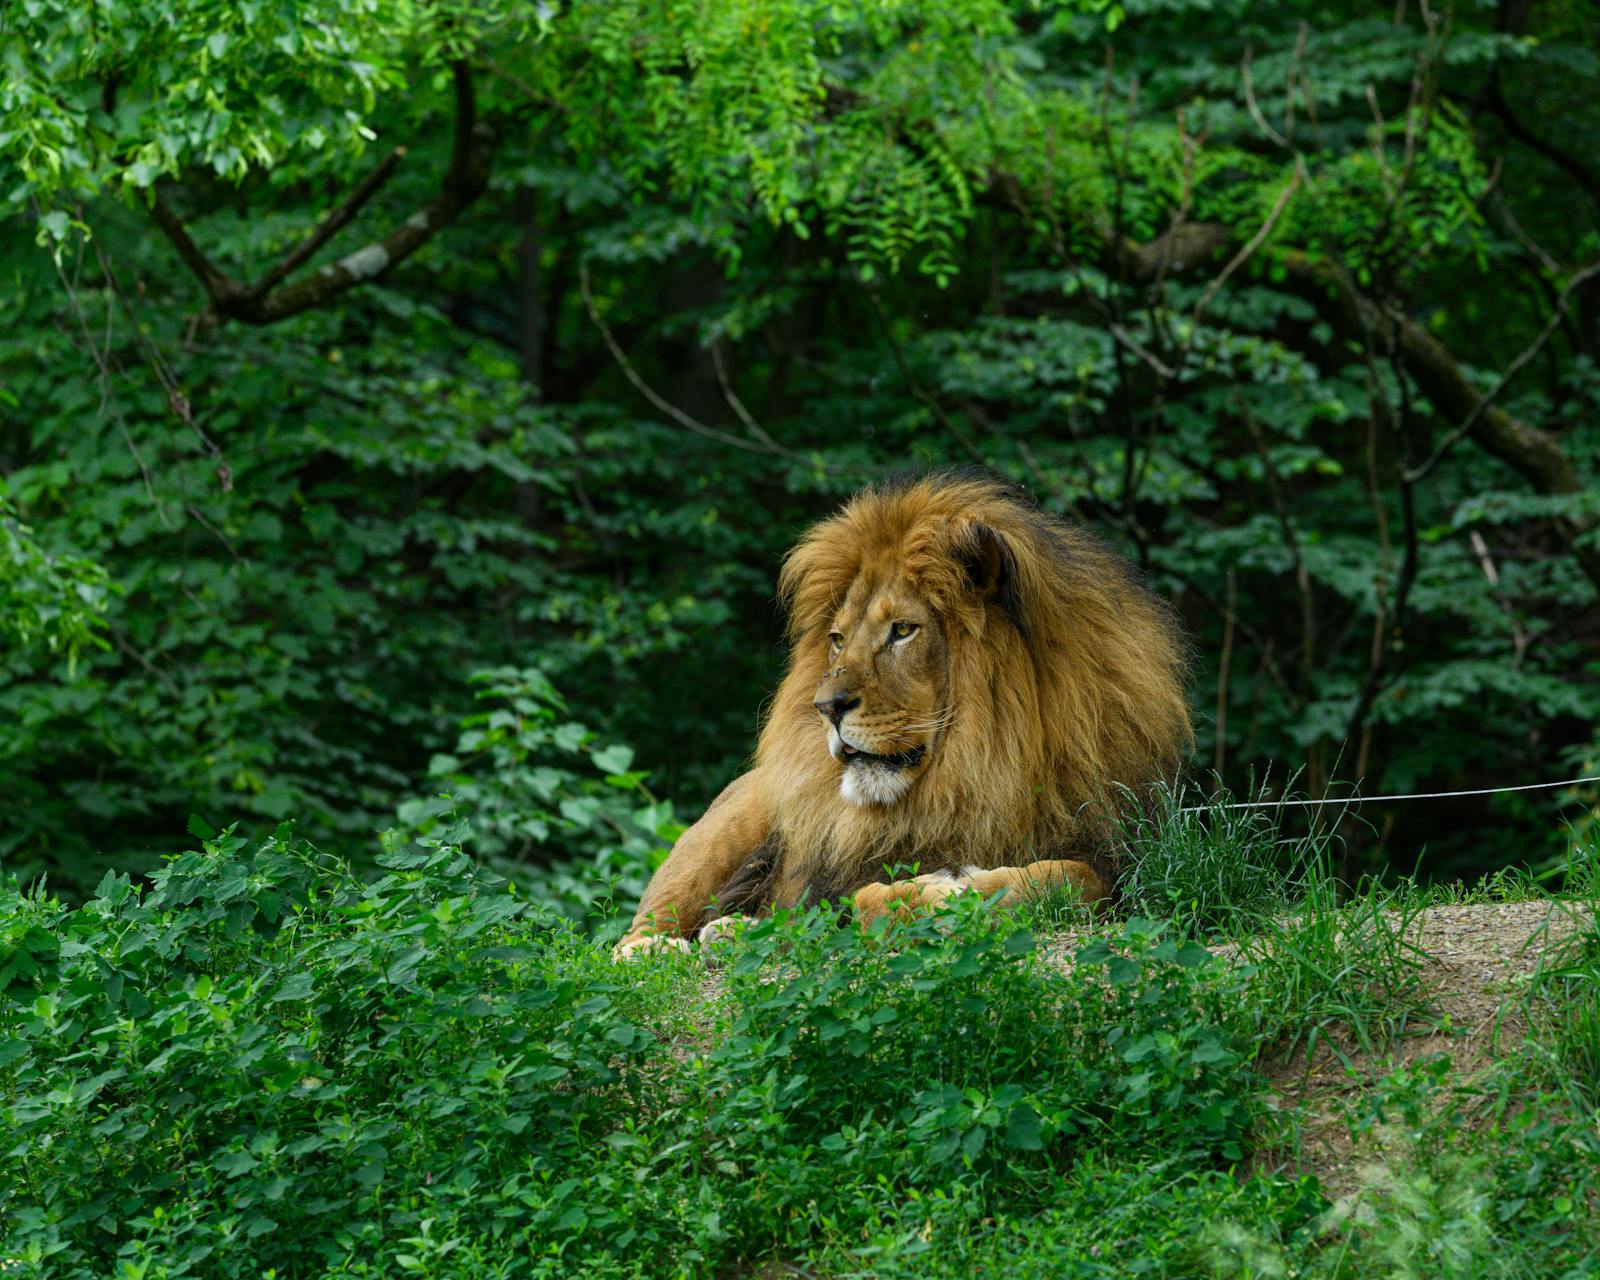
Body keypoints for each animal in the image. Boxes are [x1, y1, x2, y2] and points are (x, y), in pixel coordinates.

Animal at [615, 471, 1191, 957]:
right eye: (838, 639)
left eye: (902, 630)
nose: (826, 707)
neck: (975, 770)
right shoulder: (844, 881)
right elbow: (870, 898)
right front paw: (940, 893)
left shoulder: (1115, 856)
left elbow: (1067, 878)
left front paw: (968, 887)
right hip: (725, 826)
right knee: (635, 932)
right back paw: (662, 949)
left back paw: (731, 933)